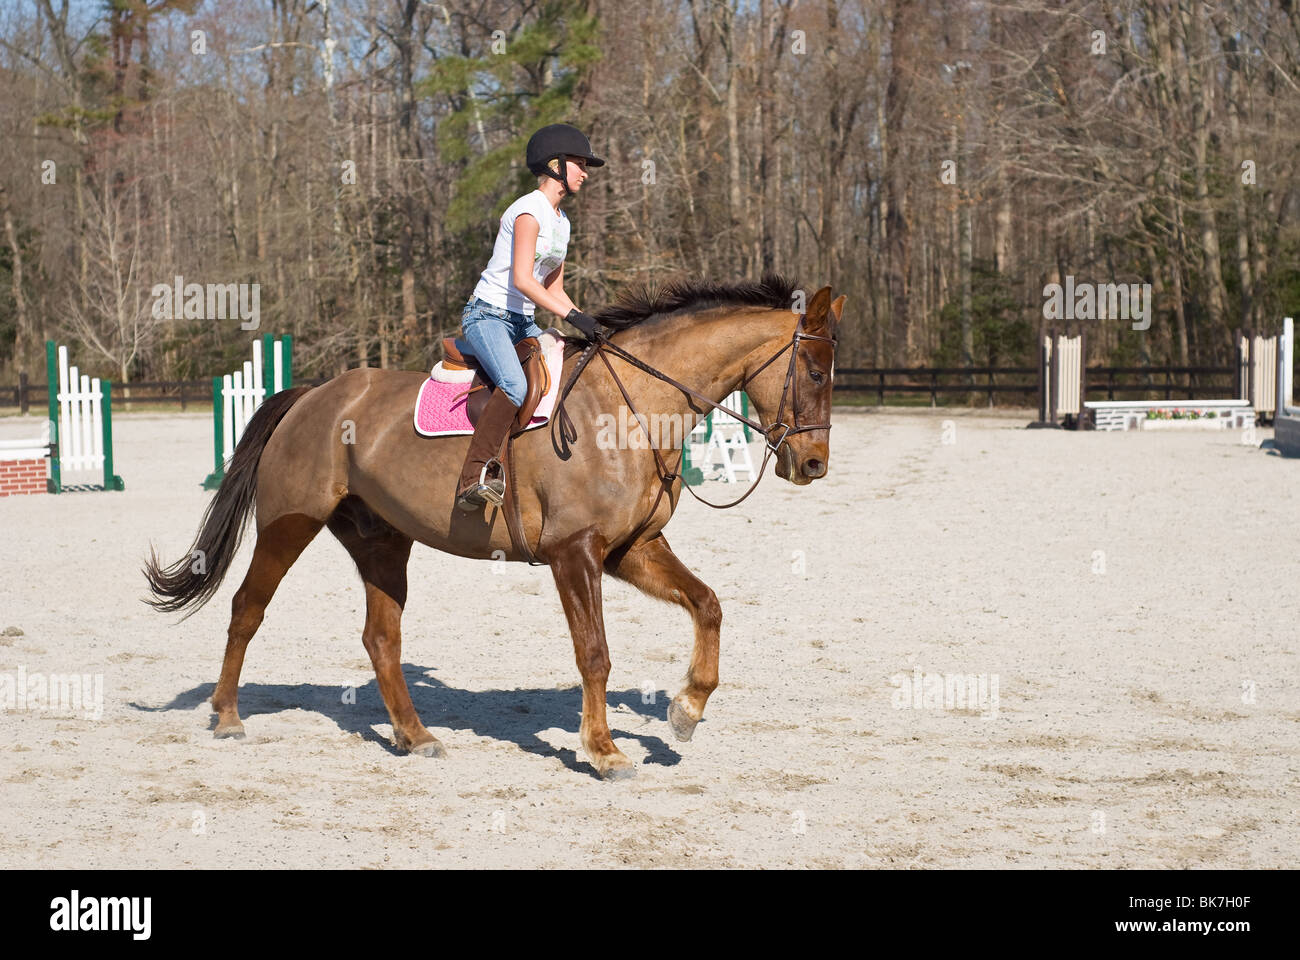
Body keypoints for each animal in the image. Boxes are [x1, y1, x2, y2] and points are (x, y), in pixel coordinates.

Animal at [144, 274, 844, 779]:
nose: (813, 465)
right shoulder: (575, 552)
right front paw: (606, 751)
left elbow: (708, 604)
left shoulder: (632, 548)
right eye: (814, 372)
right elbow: (594, 652)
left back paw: (415, 736)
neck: (633, 408)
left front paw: (686, 710)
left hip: (381, 540)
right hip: (291, 525)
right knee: (247, 608)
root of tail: (312, 395)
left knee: (380, 638)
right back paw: (228, 717)